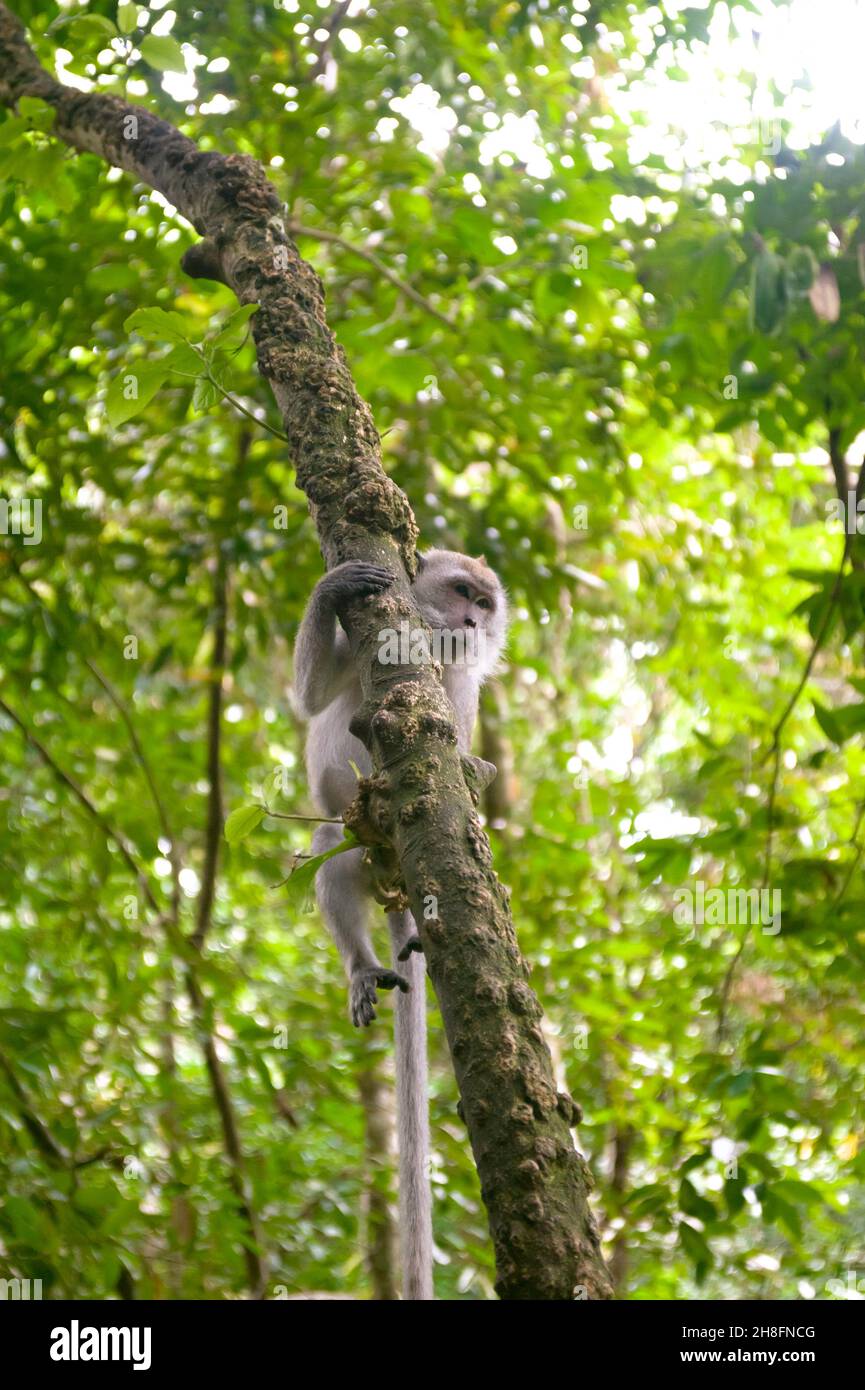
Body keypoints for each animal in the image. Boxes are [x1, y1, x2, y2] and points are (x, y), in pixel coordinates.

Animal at [292, 549, 508, 1301]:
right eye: (463, 592)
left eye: (486, 605)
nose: (473, 623)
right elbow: (310, 699)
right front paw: (331, 588)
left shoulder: (460, 686)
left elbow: (464, 757)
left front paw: (469, 769)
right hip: (357, 846)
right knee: (330, 855)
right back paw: (361, 968)